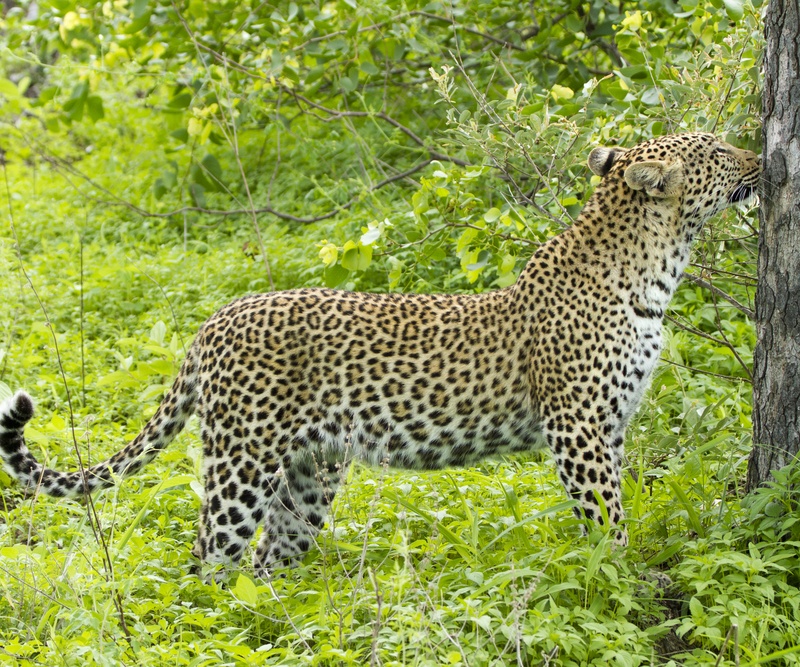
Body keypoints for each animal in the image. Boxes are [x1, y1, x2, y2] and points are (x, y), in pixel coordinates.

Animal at [0, 132, 760, 576]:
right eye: (720, 152)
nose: (760, 158)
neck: (655, 265)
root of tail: (214, 319)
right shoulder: (577, 427)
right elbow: (608, 519)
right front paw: (622, 583)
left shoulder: (612, 425)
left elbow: (617, 504)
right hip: (239, 464)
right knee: (207, 558)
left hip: (308, 474)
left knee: (269, 559)